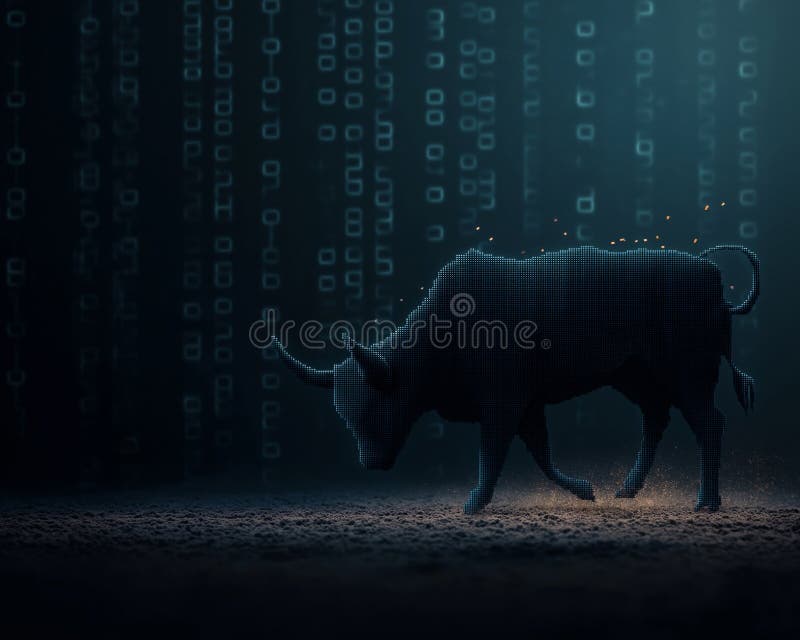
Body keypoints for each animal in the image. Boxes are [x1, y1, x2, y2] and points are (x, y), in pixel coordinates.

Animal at [274, 245, 759, 513]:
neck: (440, 333)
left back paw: (706, 502)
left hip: (689, 378)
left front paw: (473, 503)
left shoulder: (503, 404)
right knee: (656, 421)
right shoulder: (527, 406)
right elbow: (541, 454)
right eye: (346, 416)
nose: (370, 463)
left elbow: (494, 454)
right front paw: (586, 491)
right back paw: (625, 490)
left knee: (709, 423)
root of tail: (711, 276)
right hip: (640, 379)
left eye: (374, 408)